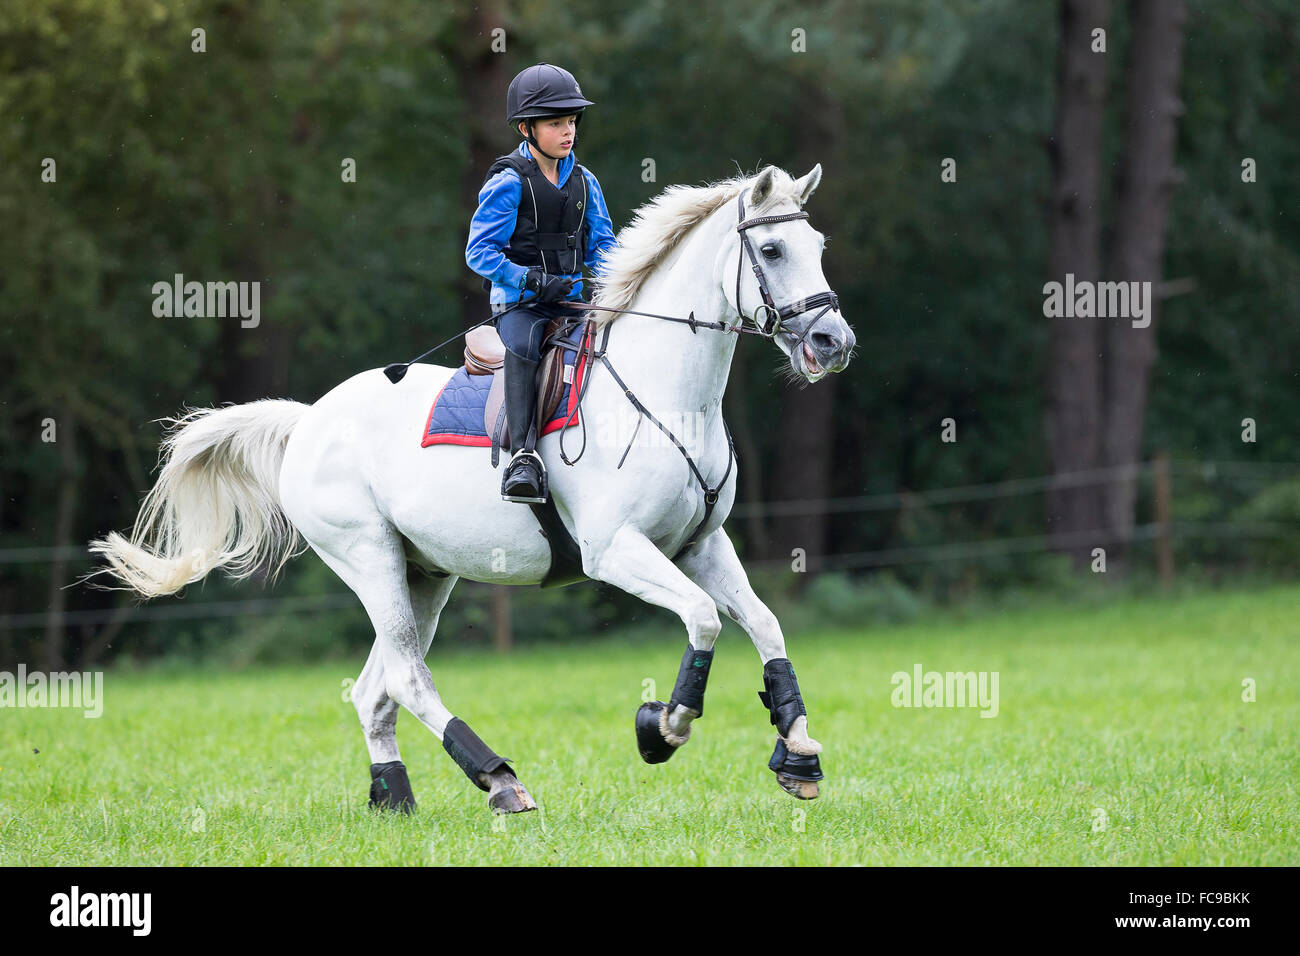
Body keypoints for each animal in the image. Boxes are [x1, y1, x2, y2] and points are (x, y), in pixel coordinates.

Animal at [86, 163, 856, 814]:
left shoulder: (700, 545)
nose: (833, 342)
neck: (666, 397)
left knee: (374, 689)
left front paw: (797, 754)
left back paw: (394, 796)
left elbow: (764, 624)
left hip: (423, 574)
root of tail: (309, 421)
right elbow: (702, 619)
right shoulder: (617, 550)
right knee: (406, 678)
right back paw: (500, 780)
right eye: (774, 250)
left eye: (817, 244)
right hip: (368, 558)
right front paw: (662, 728)